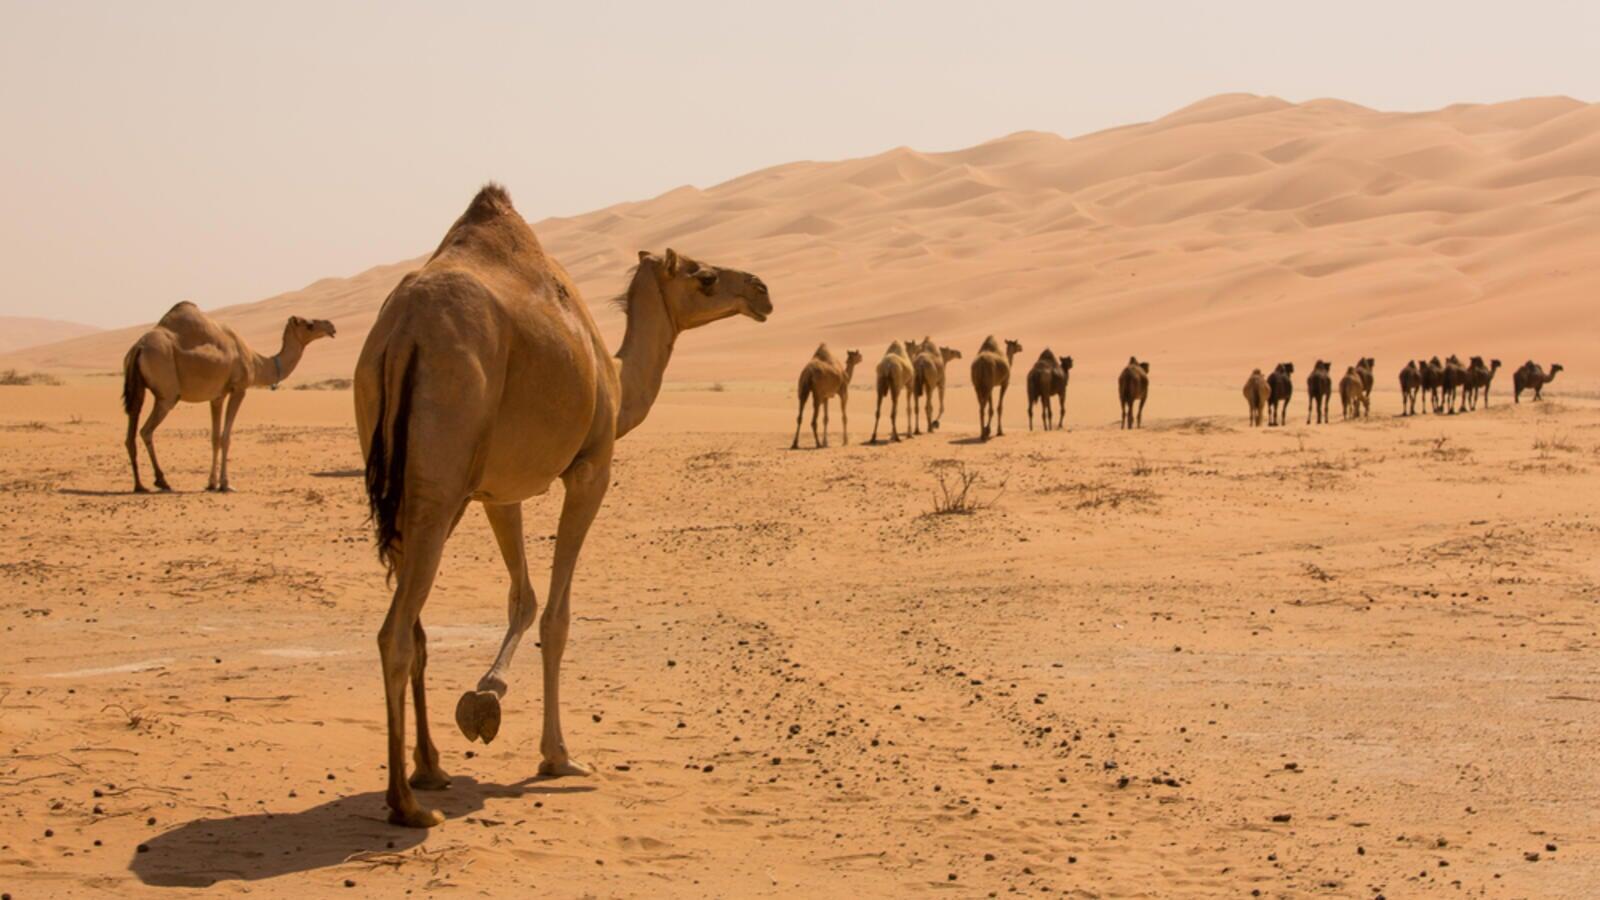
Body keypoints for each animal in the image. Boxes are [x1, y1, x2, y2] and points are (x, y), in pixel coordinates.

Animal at [120, 302, 336, 492]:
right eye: (309, 324)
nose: (331, 326)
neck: (256, 362)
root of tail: (138, 347)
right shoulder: (239, 389)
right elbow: (226, 437)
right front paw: (225, 484)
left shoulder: (217, 396)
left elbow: (215, 437)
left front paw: (211, 483)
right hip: (167, 394)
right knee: (146, 430)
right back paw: (162, 481)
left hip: (138, 388)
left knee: (131, 429)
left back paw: (139, 485)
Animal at [354, 185, 771, 828]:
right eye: (704, 277)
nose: (760, 289)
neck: (617, 379)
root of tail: (404, 332)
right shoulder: (591, 469)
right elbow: (557, 615)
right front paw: (558, 756)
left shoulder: (497, 489)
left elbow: (521, 598)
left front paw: (484, 700)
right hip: (438, 483)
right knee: (395, 633)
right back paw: (407, 805)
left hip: (408, 482)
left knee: (413, 625)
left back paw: (431, 770)